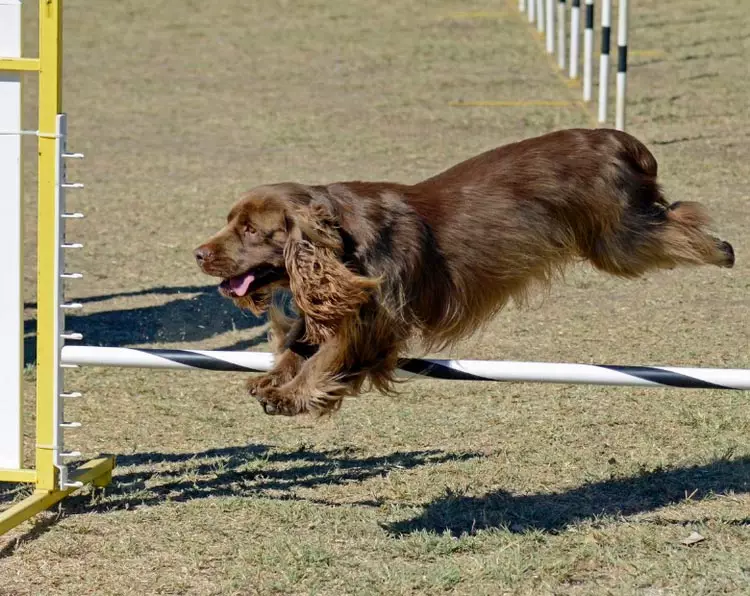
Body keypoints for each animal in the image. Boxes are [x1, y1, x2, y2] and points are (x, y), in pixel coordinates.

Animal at [194, 127, 736, 414]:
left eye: (250, 230)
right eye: (230, 221)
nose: (198, 253)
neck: (341, 240)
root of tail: (618, 139)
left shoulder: (377, 320)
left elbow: (329, 358)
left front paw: (291, 395)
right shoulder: (334, 302)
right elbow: (296, 344)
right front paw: (271, 381)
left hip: (620, 240)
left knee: (683, 222)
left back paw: (723, 251)